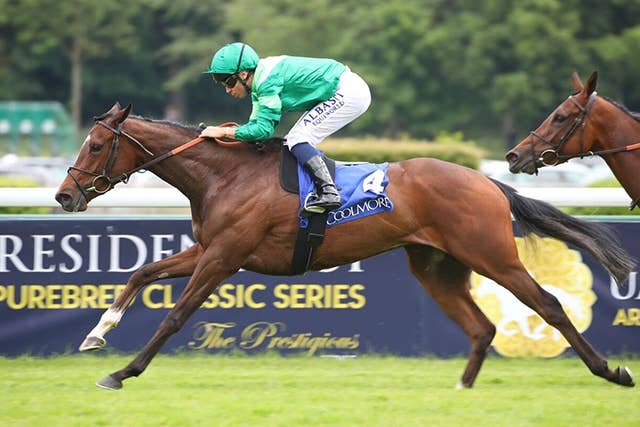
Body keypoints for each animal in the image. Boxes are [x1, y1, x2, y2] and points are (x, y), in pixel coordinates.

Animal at [55, 102, 636, 390]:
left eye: (97, 144)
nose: (63, 195)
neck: (225, 174)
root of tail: (487, 180)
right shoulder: (209, 250)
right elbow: (140, 273)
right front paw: (96, 335)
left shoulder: (224, 258)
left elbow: (174, 317)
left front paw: (122, 372)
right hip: (436, 266)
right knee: (482, 327)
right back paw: (462, 390)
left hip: (491, 255)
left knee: (549, 305)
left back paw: (611, 371)